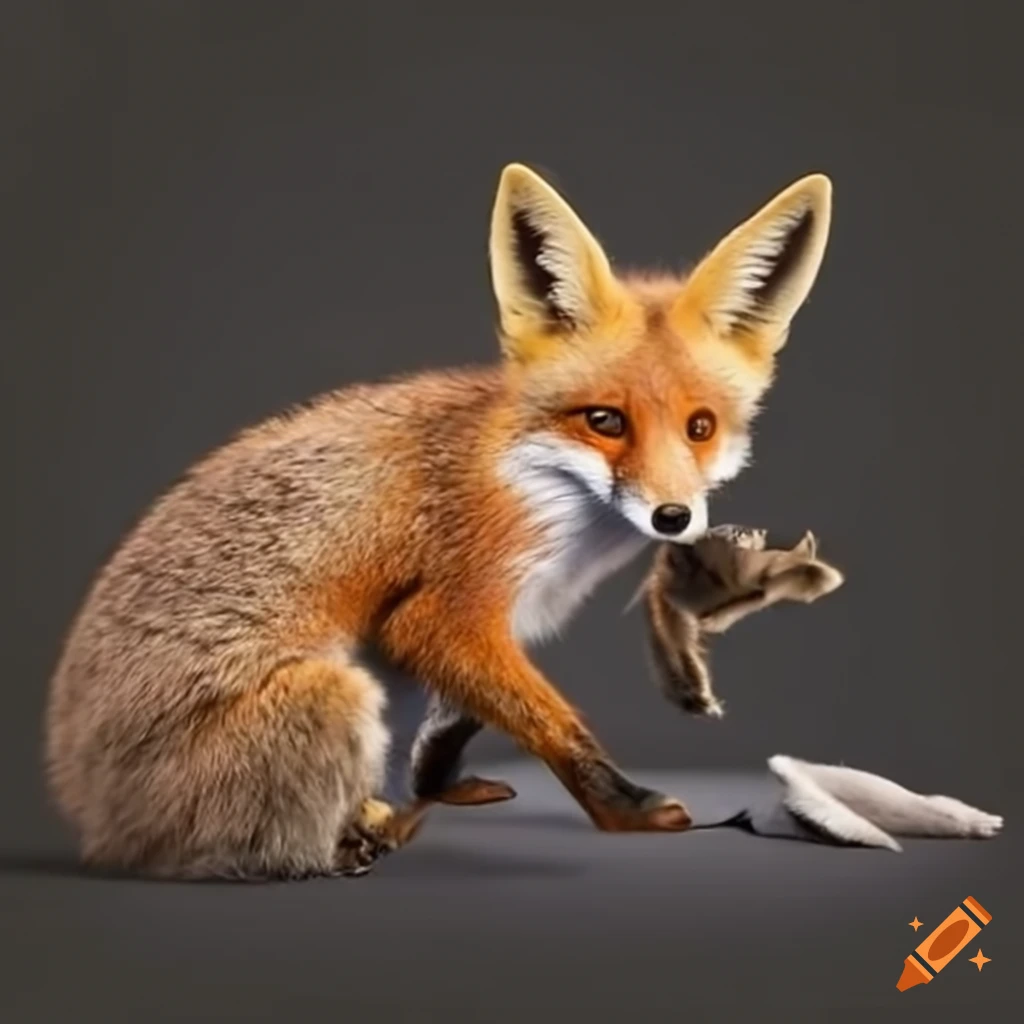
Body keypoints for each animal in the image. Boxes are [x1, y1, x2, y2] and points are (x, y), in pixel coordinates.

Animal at [45, 163, 833, 880]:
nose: (674, 517)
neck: (537, 488)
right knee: (252, 855)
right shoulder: (446, 610)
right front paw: (625, 808)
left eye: (701, 427)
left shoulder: (504, 619)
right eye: (605, 421)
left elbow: (458, 721)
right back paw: (348, 847)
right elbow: (551, 719)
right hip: (336, 693)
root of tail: (94, 826)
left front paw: (438, 784)